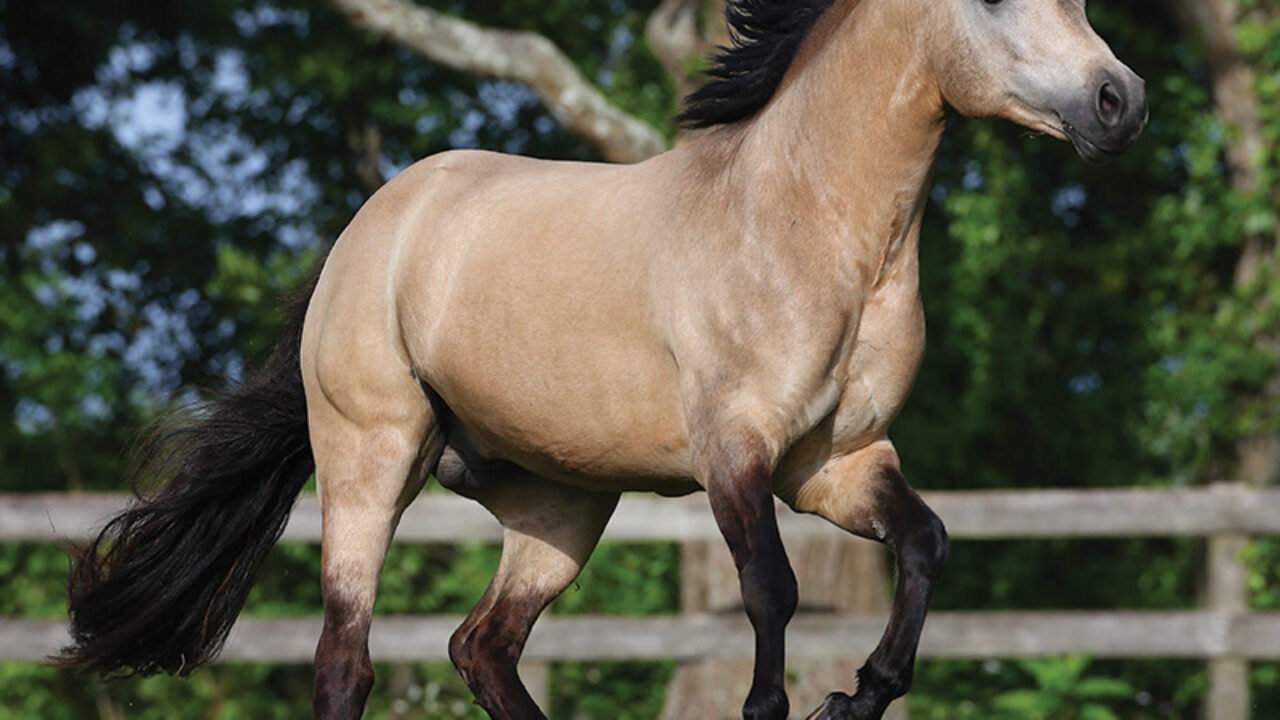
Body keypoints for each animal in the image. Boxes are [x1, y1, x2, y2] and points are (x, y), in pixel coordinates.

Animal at [55, 0, 1147, 718]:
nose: (1119, 101)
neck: (806, 226)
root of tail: (367, 231)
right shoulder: (734, 452)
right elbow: (771, 590)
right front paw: (777, 709)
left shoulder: (834, 465)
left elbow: (926, 545)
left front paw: (856, 696)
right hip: (372, 458)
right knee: (346, 657)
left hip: (559, 506)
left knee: (480, 648)